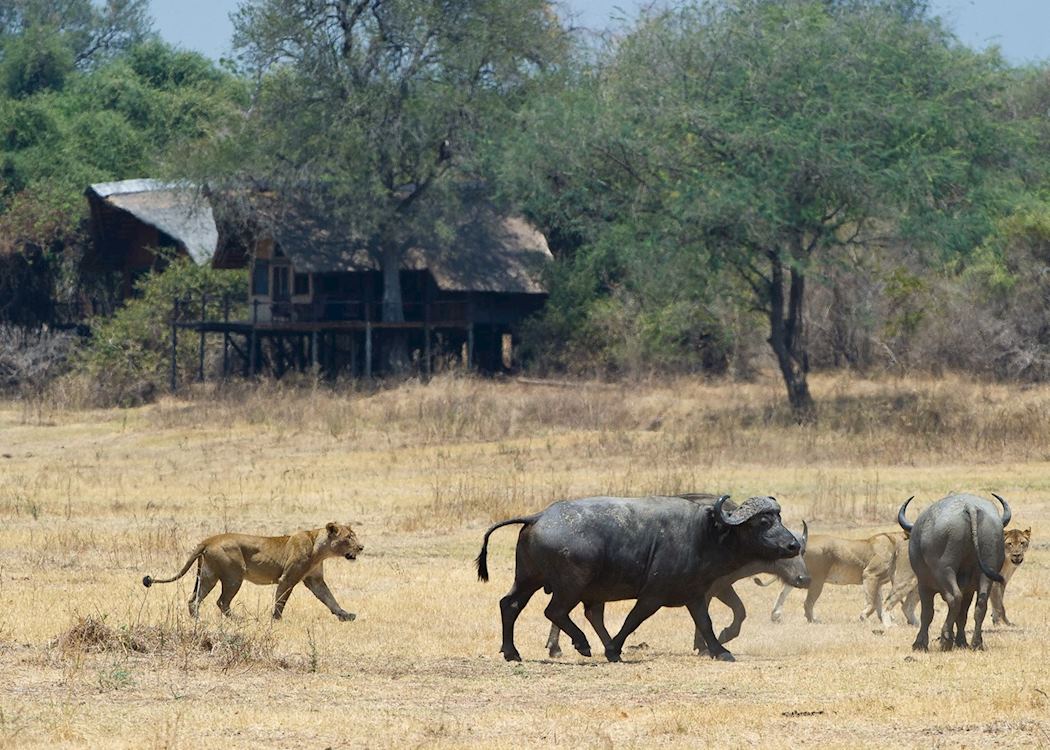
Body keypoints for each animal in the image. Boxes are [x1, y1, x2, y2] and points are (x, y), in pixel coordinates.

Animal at [143, 522, 364, 621]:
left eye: (354, 536)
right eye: (348, 537)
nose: (361, 547)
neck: (320, 549)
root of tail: (208, 540)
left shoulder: (315, 580)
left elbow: (329, 598)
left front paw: (344, 614)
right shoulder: (287, 578)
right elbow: (281, 600)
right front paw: (276, 620)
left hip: (207, 575)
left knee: (194, 599)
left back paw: (197, 619)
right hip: (233, 576)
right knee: (222, 601)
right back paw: (238, 619)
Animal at [765, 531, 916, 627]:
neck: (895, 542)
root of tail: (803, 543)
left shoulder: (877, 582)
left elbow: (878, 602)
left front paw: (884, 619)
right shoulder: (870, 575)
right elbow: (872, 603)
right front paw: (864, 618)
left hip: (800, 577)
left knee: (782, 593)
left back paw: (775, 616)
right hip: (817, 579)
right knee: (807, 603)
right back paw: (814, 621)